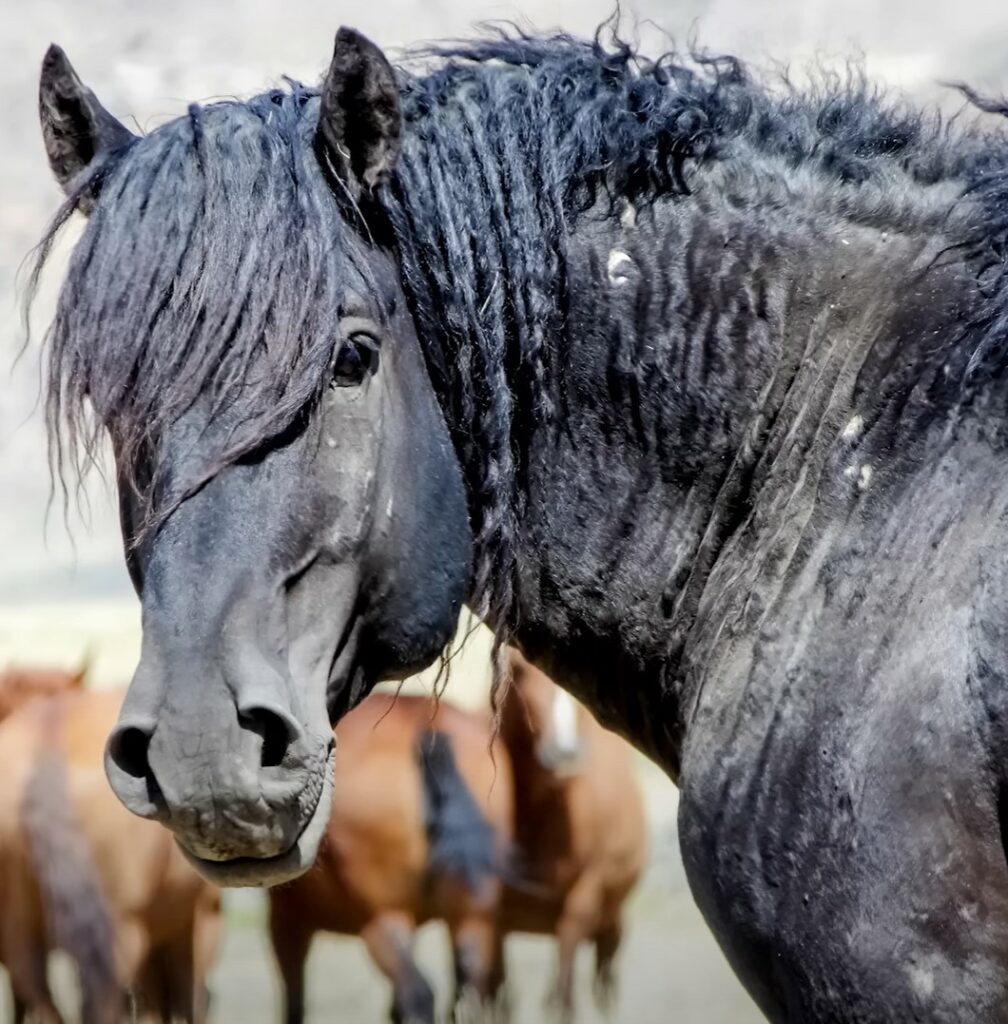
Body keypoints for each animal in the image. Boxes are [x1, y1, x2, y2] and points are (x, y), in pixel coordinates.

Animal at [268, 692, 513, 1024]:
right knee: (466, 993)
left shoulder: (286, 922)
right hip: (472, 914)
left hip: (381, 917)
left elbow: (295, 1004)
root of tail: (425, 721)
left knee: (418, 994)